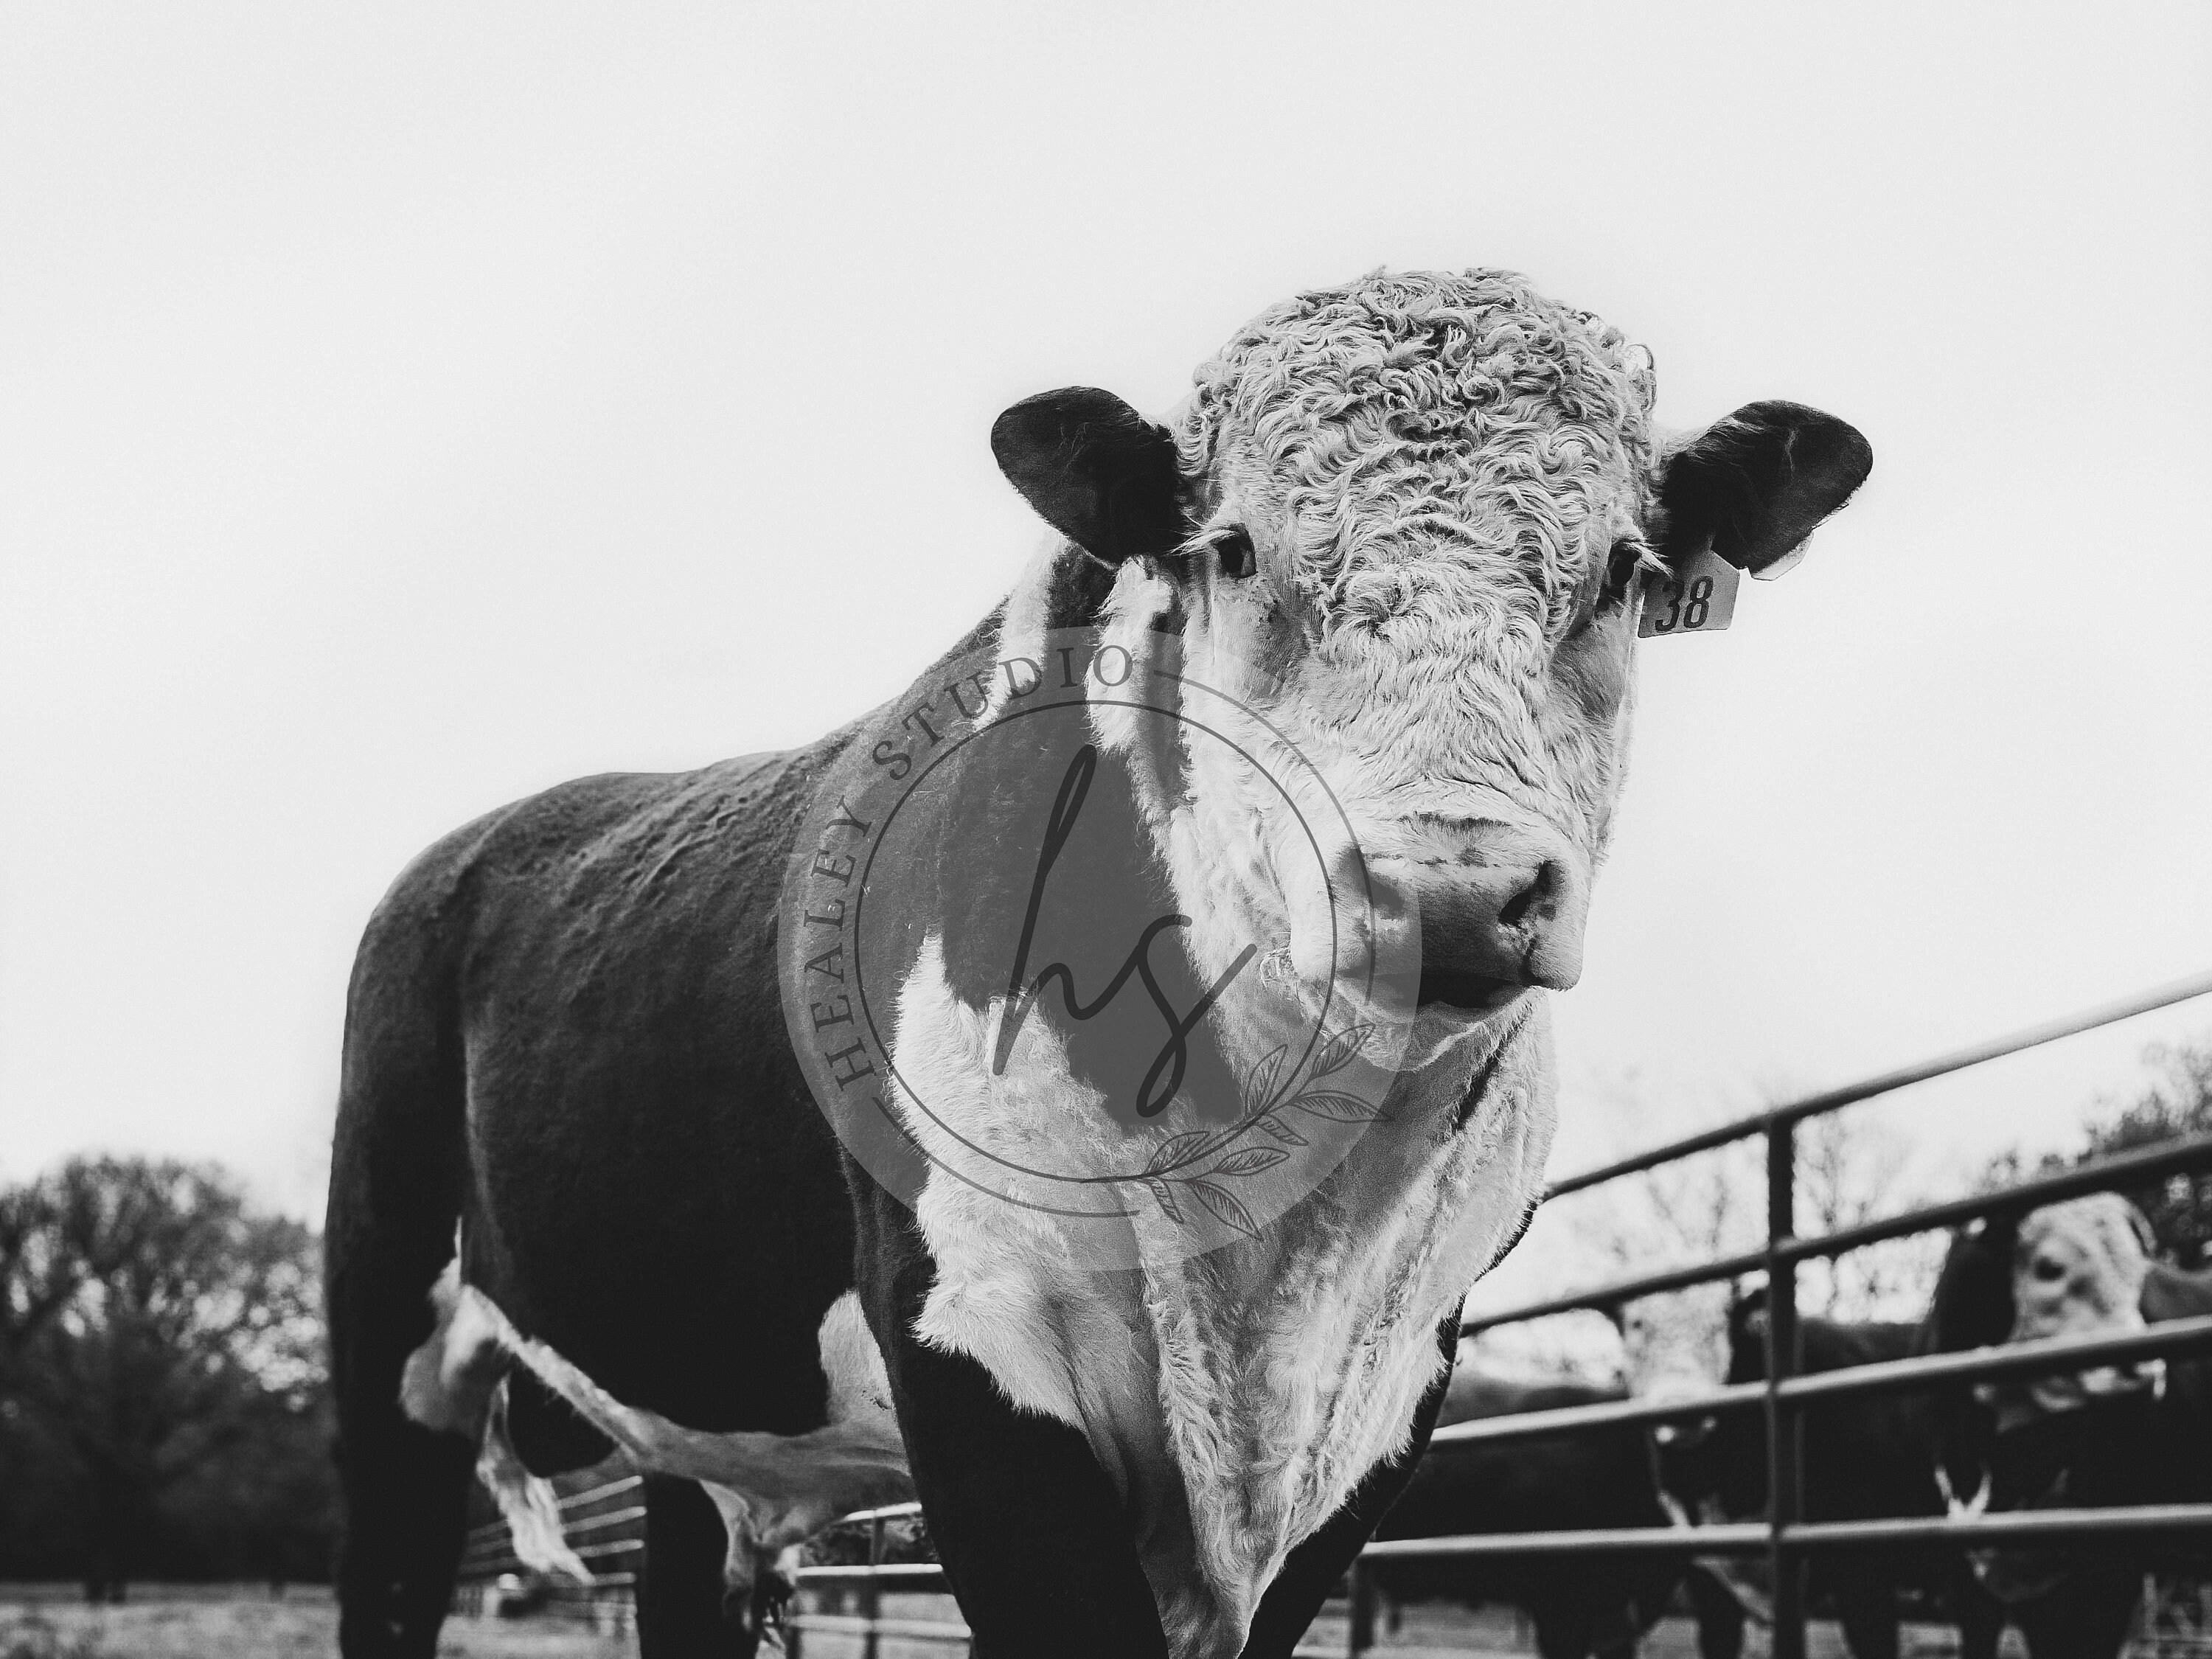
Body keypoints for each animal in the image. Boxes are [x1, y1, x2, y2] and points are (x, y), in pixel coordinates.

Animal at [325, 267, 1872, 1659]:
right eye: (1234, 549)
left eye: (1624, 570)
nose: (1445, 892)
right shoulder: (977, 1360)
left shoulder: (1385, 1406)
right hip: (382, 1319)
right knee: (387, 1575)